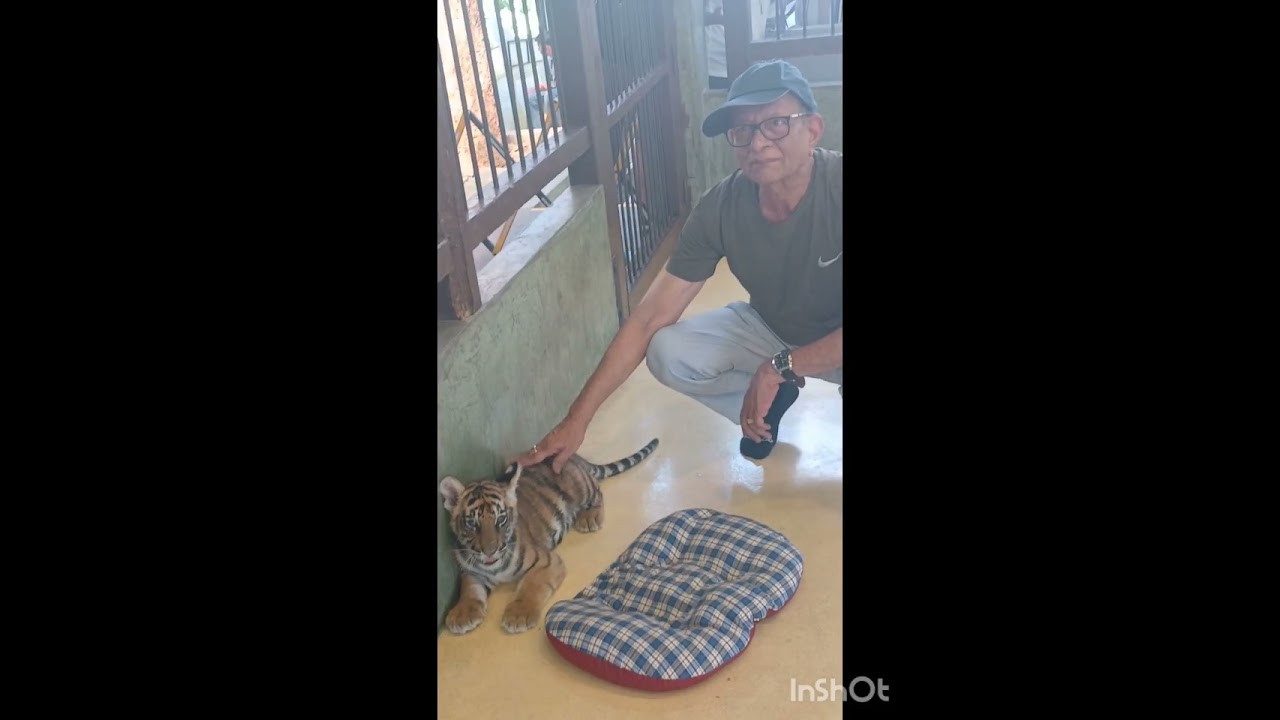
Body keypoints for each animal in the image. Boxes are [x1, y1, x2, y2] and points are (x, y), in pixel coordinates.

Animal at [439, 437, 659, 635]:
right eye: (472, 523)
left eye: (501, 519)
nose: (490, 551)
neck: (494, 568)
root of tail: (575, 458)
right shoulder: (470, 571)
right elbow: (468, 590)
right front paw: (462, 614)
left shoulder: (546, 561)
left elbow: (531, 586)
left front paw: (519, 615)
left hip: (582, 487)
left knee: (599, 492)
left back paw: (590, 518)